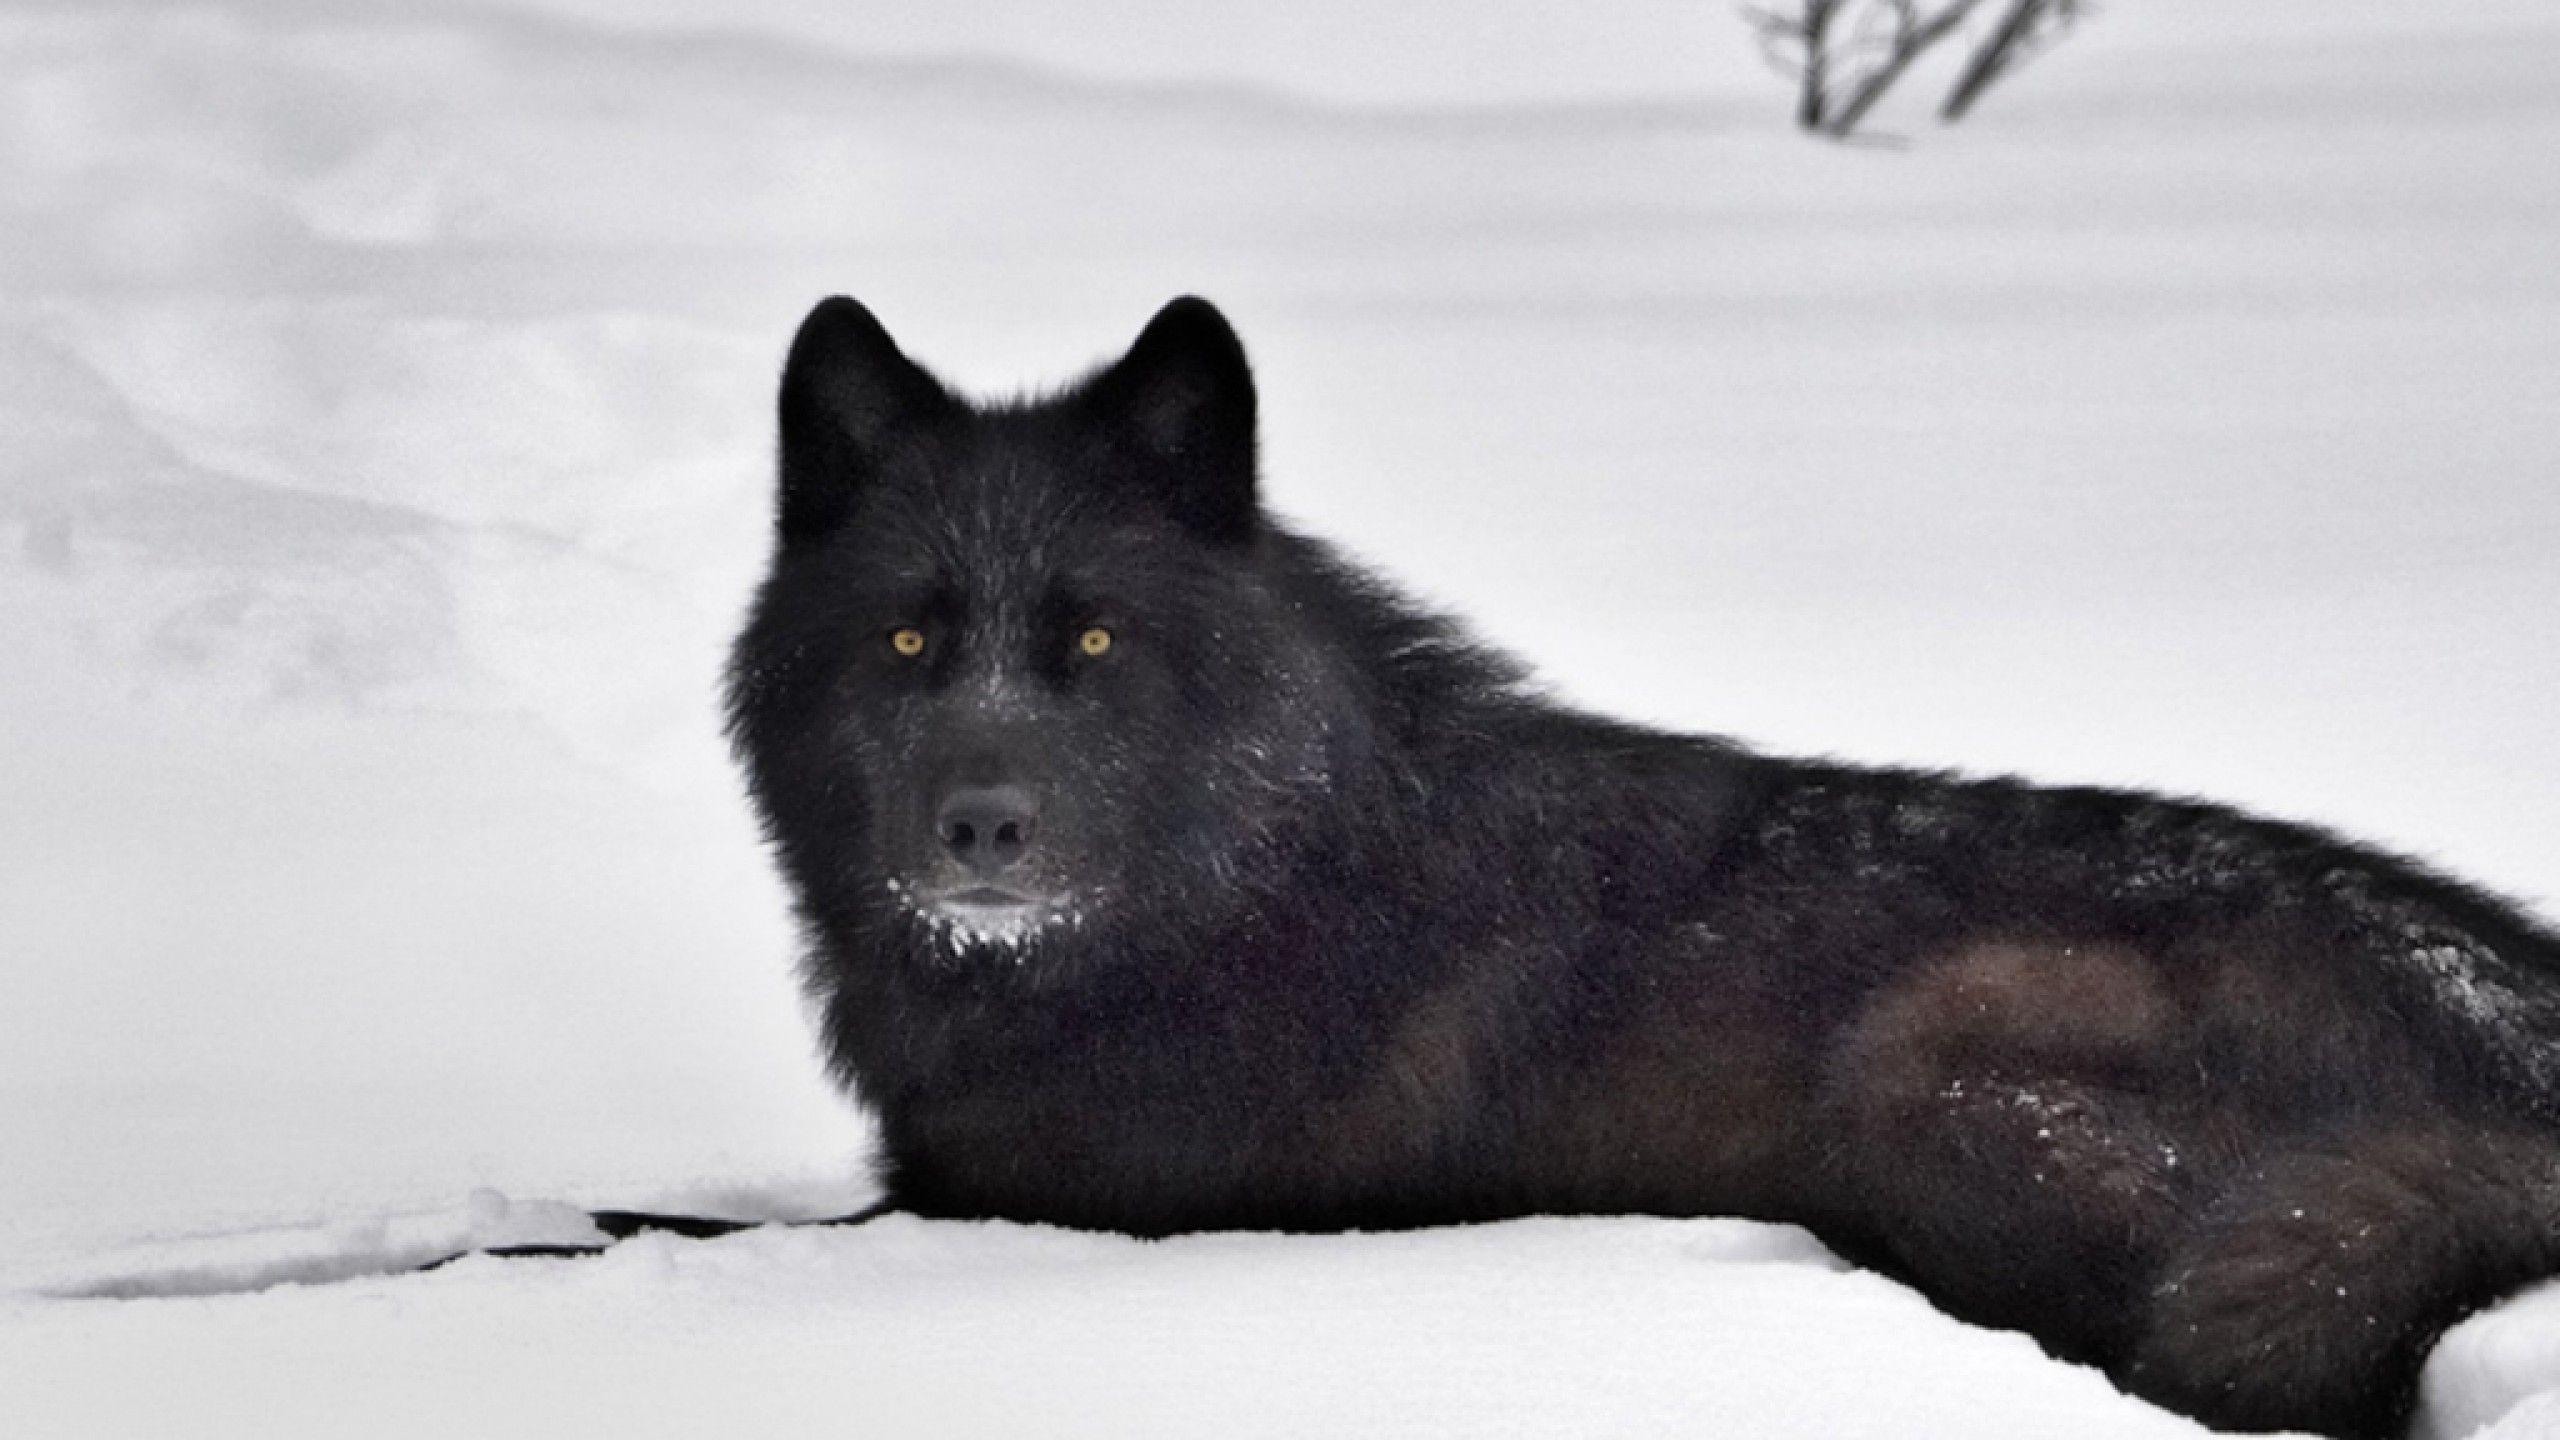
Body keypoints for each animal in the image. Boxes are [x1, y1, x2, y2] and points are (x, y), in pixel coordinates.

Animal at [726, 295, 2560, 1438]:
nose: (982, 828)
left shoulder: (1043, 1211)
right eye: (909, 638)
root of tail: (2515, 1041)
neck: (1237, 889)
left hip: (1942, 1059)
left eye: (1095, 639)